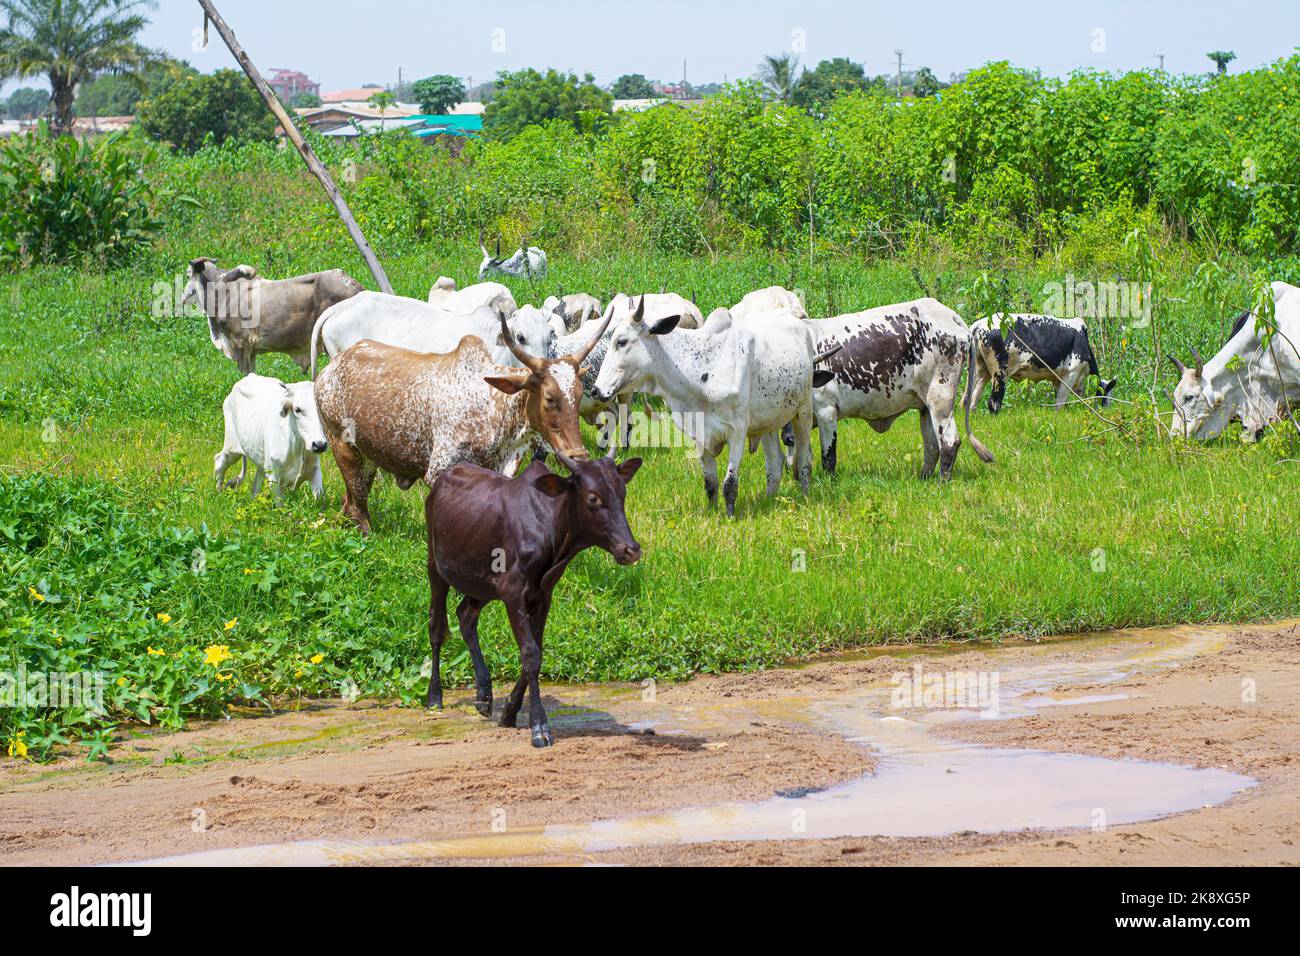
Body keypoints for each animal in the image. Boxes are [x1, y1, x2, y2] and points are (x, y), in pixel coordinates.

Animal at [314, 312, 609, 534]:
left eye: (579, 394)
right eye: (549, 397)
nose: (578, 454)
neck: (494, 406)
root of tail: (329, 370)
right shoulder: (440, 470)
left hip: (367, 460)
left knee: (349, 504)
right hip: (345, 449)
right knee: (358, 508)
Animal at [425, 453, 642, 747]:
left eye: (622, 492)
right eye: (593, 497)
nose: (630, 549)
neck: (554, 536)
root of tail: (445, 476)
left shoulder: (542, 596)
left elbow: (536, 650)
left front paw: (509, 711)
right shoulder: (512, 593)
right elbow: (530, 654)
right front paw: (539, 726)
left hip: (481, 585)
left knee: (466, 616)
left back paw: (484, 695)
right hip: (435, 567)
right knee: (437, 628)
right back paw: (434, 696)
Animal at [592, 299, 836, 516]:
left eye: (622, 342)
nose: (595, 390)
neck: (701, 368)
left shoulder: (737, 432)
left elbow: (730, 483)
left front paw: (729, 516)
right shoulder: (699, 435)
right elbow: (710, 483)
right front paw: (712, 512)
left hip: (802, 412)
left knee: (804, 461)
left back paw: (804, 495)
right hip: (768, 422)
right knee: (775, 464)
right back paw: (768, 501)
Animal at [808, 299, 995, 479]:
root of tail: (951, 315)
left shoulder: (826, 411)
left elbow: (828, 458)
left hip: (940, 398)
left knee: (949, 441)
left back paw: (942, 482)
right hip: (925, 406)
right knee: (932, 447)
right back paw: (924, 479)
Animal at [967, 314, 1117, 413]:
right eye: (1107, 396)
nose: (1107, 410)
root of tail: (978, 325)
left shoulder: (1057, 379)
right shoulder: (1071, 374)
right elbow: (1059, 404)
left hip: (982, 371)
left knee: (970, 401)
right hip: (1000, 373)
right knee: (993, 403)